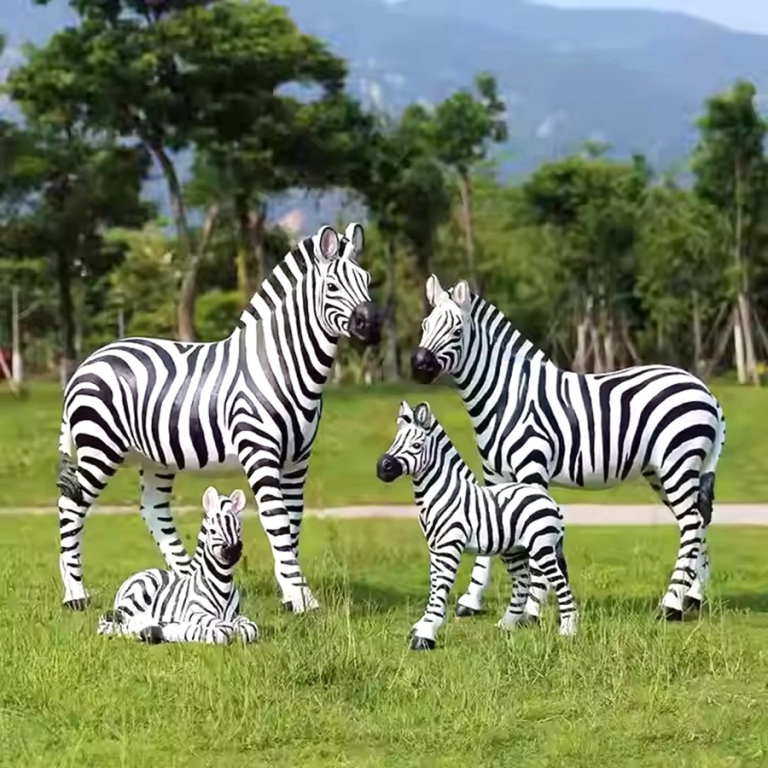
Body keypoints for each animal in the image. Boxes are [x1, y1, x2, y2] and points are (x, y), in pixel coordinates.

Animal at [56, 223, 381, 614]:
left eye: (368, 280)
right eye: (332, 286)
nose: (373, 325)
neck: (281, 367)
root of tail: (88, 361)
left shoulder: (297, 460)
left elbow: (292, 524)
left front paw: (292, 593)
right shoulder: (260, 452)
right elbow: (276, 520)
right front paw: (303, 599)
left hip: (155, 457)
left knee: (153, 510)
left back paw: (185, 580)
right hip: (99, 448)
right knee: (71, 506)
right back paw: (75, 594)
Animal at [98, 486, 259, 645]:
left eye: (238, 529)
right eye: (213, 530)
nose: (233, 549)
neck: (222, 582)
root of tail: (136, 575)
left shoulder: (235, 616)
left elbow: (250, 628)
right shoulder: (195, 612)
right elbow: (223, 630)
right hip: (138, 594)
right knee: (107, 623)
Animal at [376, 400, 577, 650]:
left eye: (416, 445)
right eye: (395, 441)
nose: (381, 467)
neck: (442, 491)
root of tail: (550, 502)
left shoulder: (449, 546)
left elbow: (441, 586)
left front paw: (425, 634)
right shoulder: (435, 547)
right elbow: (434, 584)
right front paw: (425, 625)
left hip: (542, 548)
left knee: (559, 583)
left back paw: (568, 632)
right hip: (514, 550)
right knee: (522, 582)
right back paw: (506, 625)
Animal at [410, 275, 726, 623]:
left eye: (456, 331)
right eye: (425, 325)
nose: (419, 364)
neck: (507, 396)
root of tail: (706, 391)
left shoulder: (531, 469)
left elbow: (533, 537)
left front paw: (530, 611)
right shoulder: (495, 475)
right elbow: (489, 531)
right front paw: (472, 600)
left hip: (677, 463)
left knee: (691, 522)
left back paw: (670, 605)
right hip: (663, 471)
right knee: (696, 521)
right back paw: (691, 598)